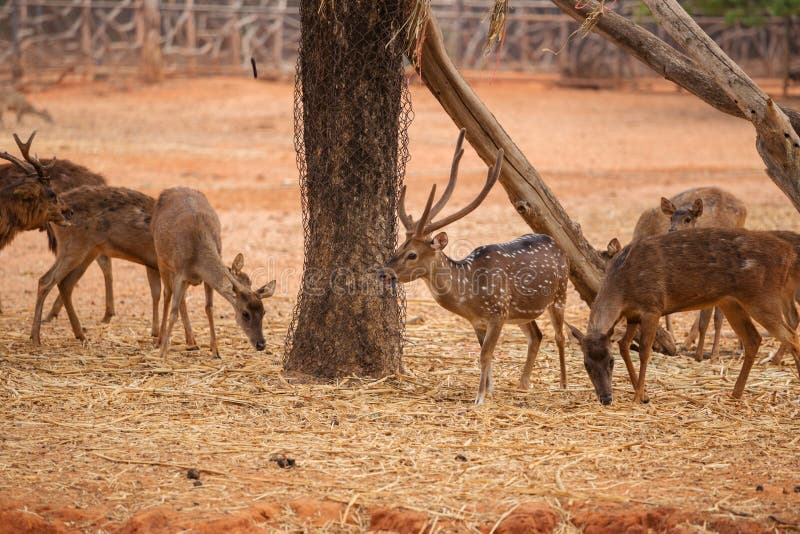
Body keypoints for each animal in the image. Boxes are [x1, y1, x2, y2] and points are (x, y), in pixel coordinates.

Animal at [30, 185, 196, 348]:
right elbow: (178, 299)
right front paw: (190, 341)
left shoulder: (155, 265)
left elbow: (159, 293)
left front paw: (160, 334)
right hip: (74, 247)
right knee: (46, 280)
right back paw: (36, 338)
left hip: (88, 251)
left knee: (65, 284)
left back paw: (80, 335)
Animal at [151, 187, 275, 359]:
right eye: (245, 313)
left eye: (263, 312)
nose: (261, 344)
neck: (196, 260)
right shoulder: (180, 273)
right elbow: (173, 311)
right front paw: (163, 352)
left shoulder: (205, 279)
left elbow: (209, 308)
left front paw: (216, 351)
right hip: (161, 259)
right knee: (167, 294)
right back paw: (160, 341)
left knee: (181, 298)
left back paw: (192, 342)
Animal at [378, 130, 569, 405]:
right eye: (398, 247)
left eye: (412, 254)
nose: (383, 272)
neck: (470, 293)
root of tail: (555, 242)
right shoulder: (479, 321)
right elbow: (484, 353)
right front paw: (489, 390)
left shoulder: (497, 312)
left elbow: (485, 355)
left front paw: (479, 398)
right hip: (521, 311)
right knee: (536, 335)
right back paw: (523, 383)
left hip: (560, 292)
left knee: (560, 335)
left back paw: (564, 384)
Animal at [569, 227, 800, 406]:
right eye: (586, 365)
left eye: (610, 362)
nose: (606, 398)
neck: (622, 288)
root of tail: (788, 255)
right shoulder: (632, 314)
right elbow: (624, 345)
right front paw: (642, 394)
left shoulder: (652, 306)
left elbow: (644, 351)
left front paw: (638, 397)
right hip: (731, 302)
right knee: (754, 338)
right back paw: (735, 394)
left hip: (763, 296)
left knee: (791, 337)